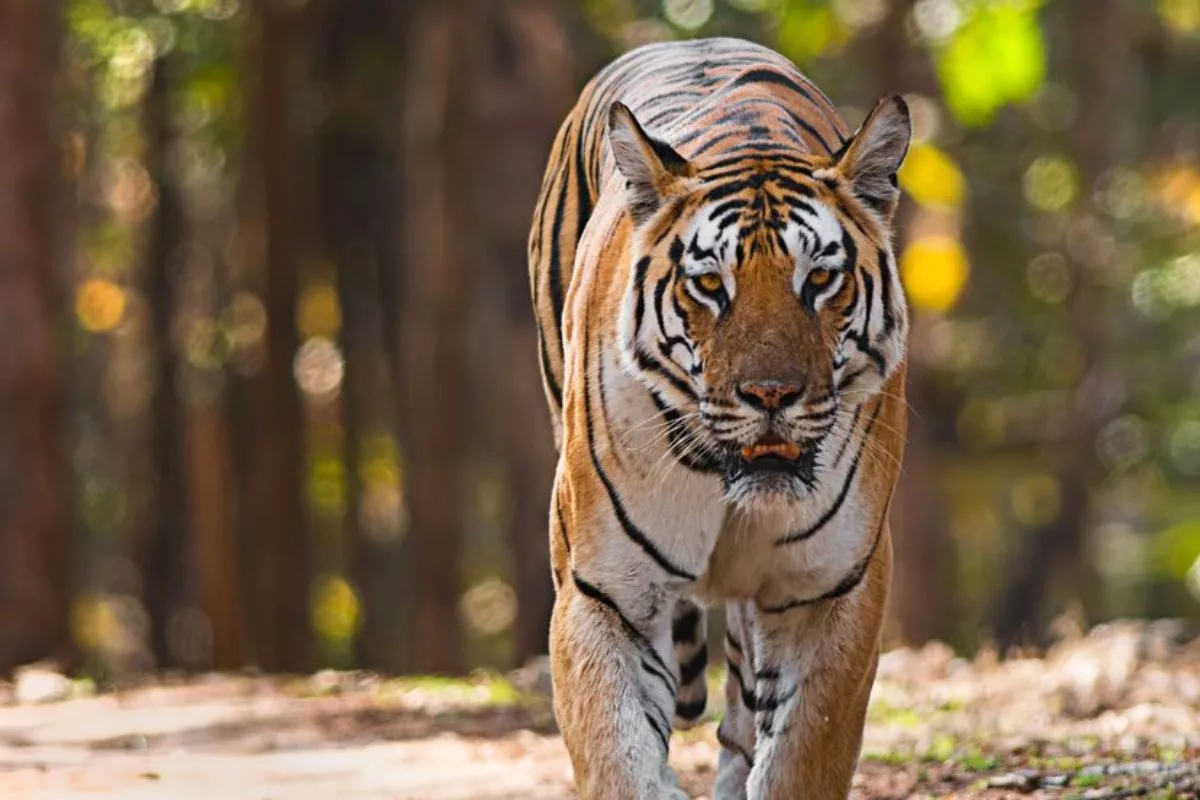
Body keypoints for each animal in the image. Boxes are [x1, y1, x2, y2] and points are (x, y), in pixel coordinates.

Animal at [527, 37, 911, 799]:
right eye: (709, 285)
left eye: (820, 279)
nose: (770, 394)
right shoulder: (604, 590)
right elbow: (617, 755)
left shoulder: (830, 589)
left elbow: (801, 755)